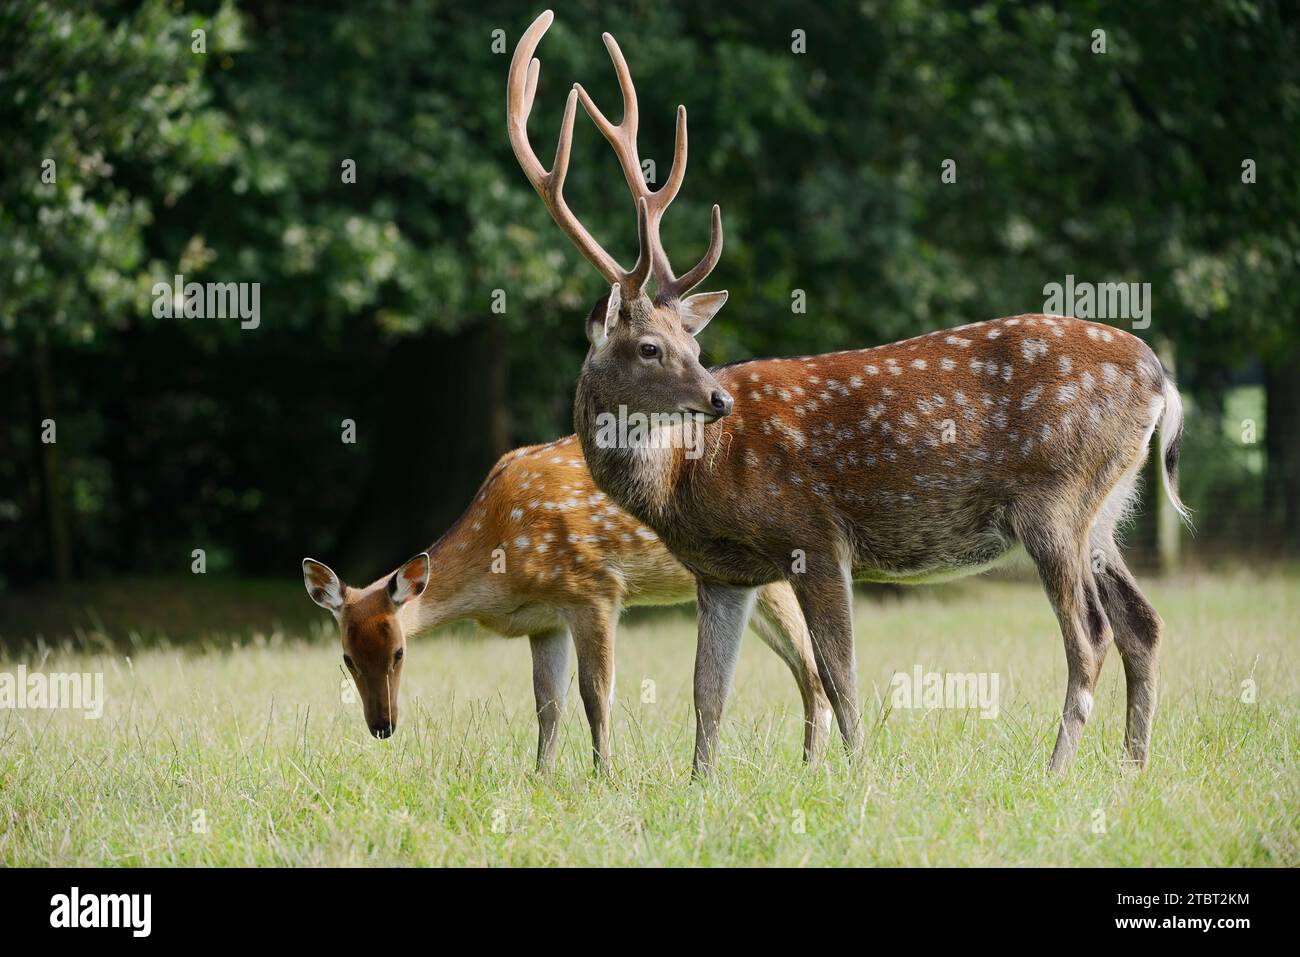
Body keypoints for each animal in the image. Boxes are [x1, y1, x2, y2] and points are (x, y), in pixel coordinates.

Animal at [302, 434, 831, 773]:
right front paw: (543, 775)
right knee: (805, 670)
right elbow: (547, 703)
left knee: (811, 669)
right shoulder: (544, 621)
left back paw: (811, 767)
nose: (382, 726)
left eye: (399, 653)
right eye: (347, 659)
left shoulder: (592, 587)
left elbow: (595, 694)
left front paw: (605, 777)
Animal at [506, 9, 1190, 776]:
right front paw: (700, 782)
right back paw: (1131, 768)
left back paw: (1056, 768)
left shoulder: (814, 533)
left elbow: (839, 672)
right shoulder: (723, 573)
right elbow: (707, 691)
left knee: (1091, 633)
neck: (688, 479)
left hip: (1057, 497)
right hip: (1108, 508)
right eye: (653, 347)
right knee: (1143, 623)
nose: (717, 401)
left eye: (695, 348)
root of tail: (1160, 378)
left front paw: (857, 772)